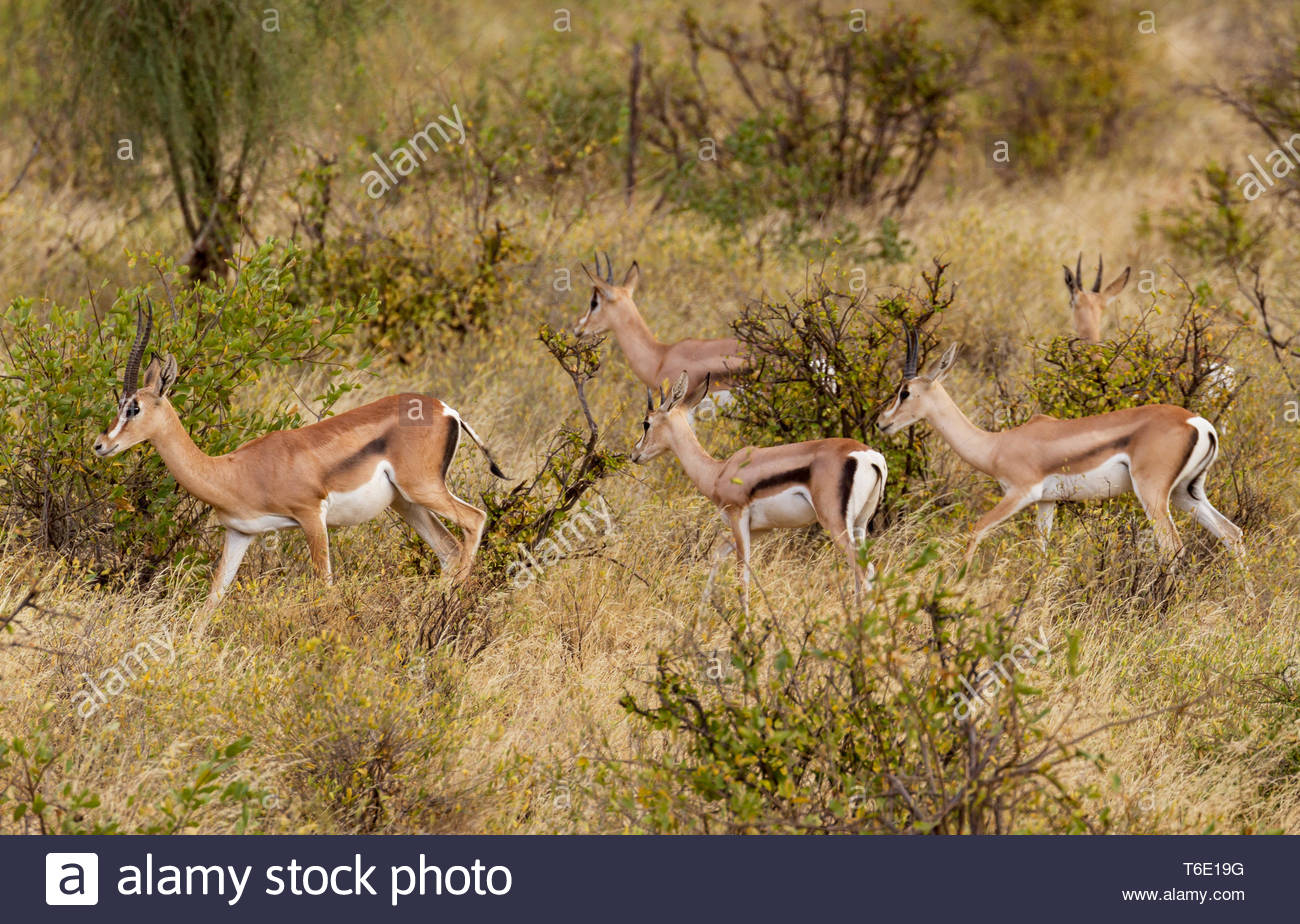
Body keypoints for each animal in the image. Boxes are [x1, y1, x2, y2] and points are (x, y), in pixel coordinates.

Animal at [93, 300, 506, 610]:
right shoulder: (240, 533)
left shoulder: (311, 515)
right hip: (406, 503)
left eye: (133, 408)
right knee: (449, 551)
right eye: (118, 404)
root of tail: (447, 410)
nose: (99, 445)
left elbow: (326, 587)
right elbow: (211, 601)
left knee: (475, 519)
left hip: (423, 489)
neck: (236, 471)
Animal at [631, 371, 887, 606]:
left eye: (646, 423)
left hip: (835, 524)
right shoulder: (760, 529)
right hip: (859, 524)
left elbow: (742, 578)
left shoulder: (738, 518)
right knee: (863, 574)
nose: (634, 454)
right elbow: (718, 554)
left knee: (865, 572)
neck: (718, 472)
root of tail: (869, 456)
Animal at [876, 329, 1243, 566]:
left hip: (1152, 494)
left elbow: (976, 529)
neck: (997, 445)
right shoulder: (1047, 502)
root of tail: (1199, 423)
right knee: (1232, 535)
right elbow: (1042, 552)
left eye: (904, 392)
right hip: (1185, 493)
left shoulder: (1019, 493)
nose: (881, 422)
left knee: (1173, 548)